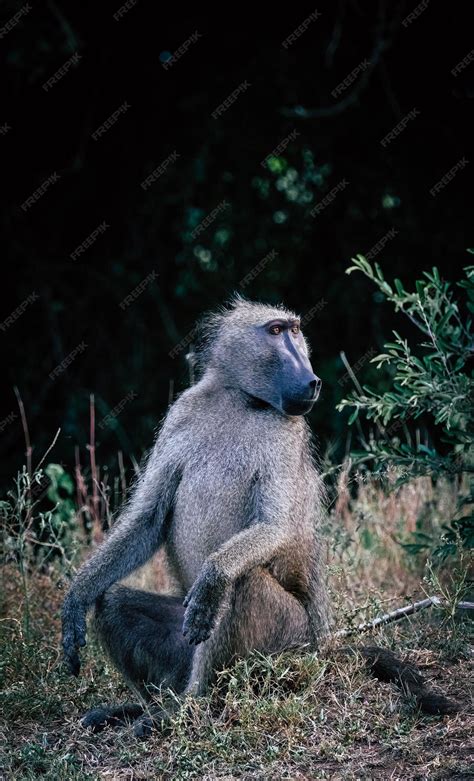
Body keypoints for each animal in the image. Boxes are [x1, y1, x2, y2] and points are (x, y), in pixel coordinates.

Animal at [62, 296, 458, 737]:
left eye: (295, 330)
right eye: (277, 331)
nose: (312, 380)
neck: (239, 399)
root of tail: (322, 648)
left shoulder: (285, 435)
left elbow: (272, 529)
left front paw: (215, 574)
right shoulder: (181, 414)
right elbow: (147, 520)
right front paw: (75, 601)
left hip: (288, 643)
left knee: (240, 582)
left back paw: (187, 707)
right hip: (182, 639)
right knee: (114, 603)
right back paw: (147, 706)